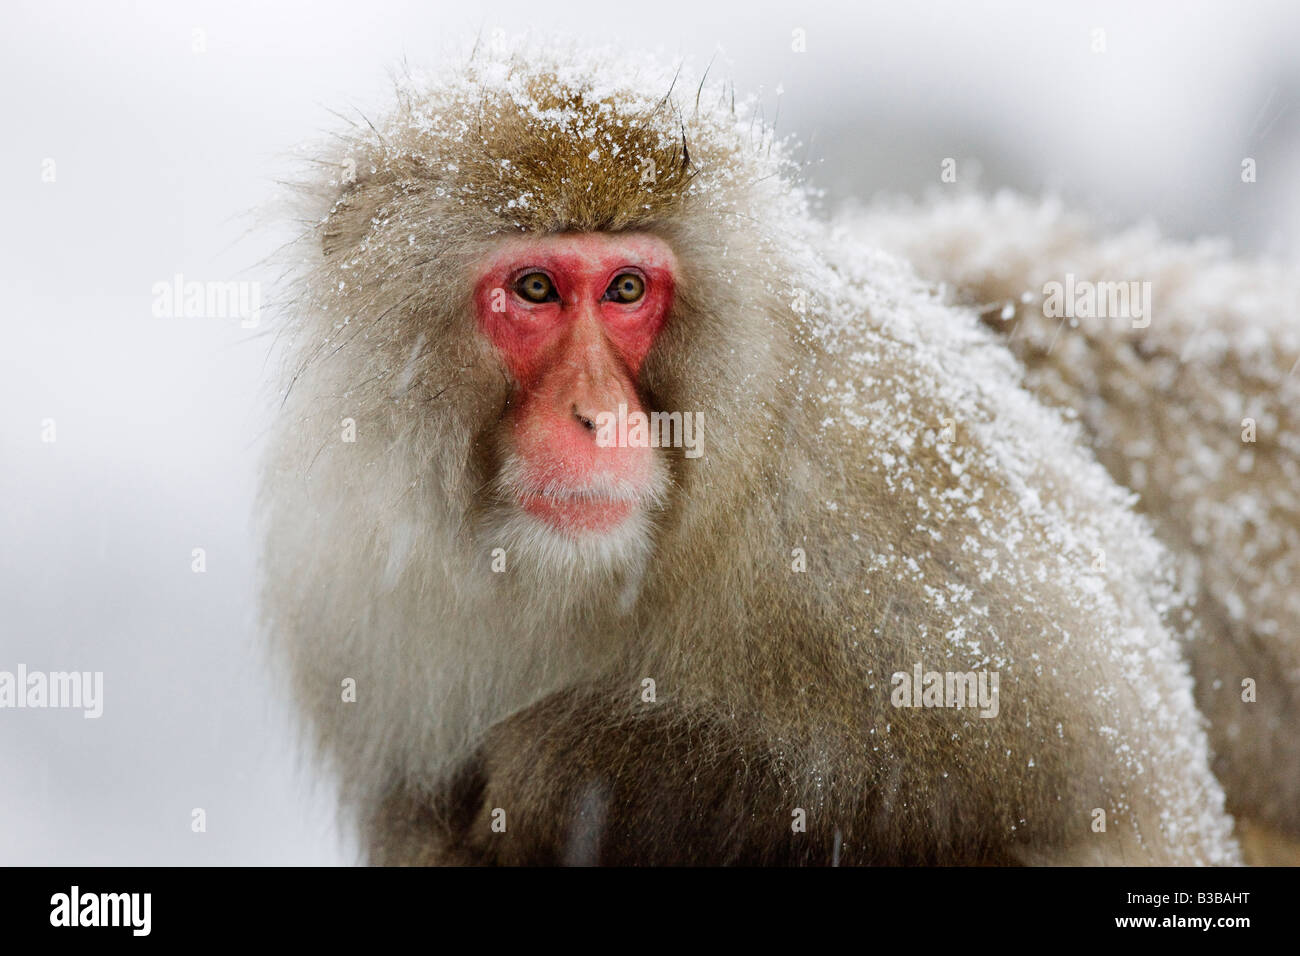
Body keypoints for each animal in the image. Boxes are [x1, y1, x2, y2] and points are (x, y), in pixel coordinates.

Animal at [261, 45, 1251, 866]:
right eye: (535, 288)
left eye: (626, 289)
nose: (595, 416)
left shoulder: (876, 493)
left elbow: (1089, 793)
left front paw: (571, 770)